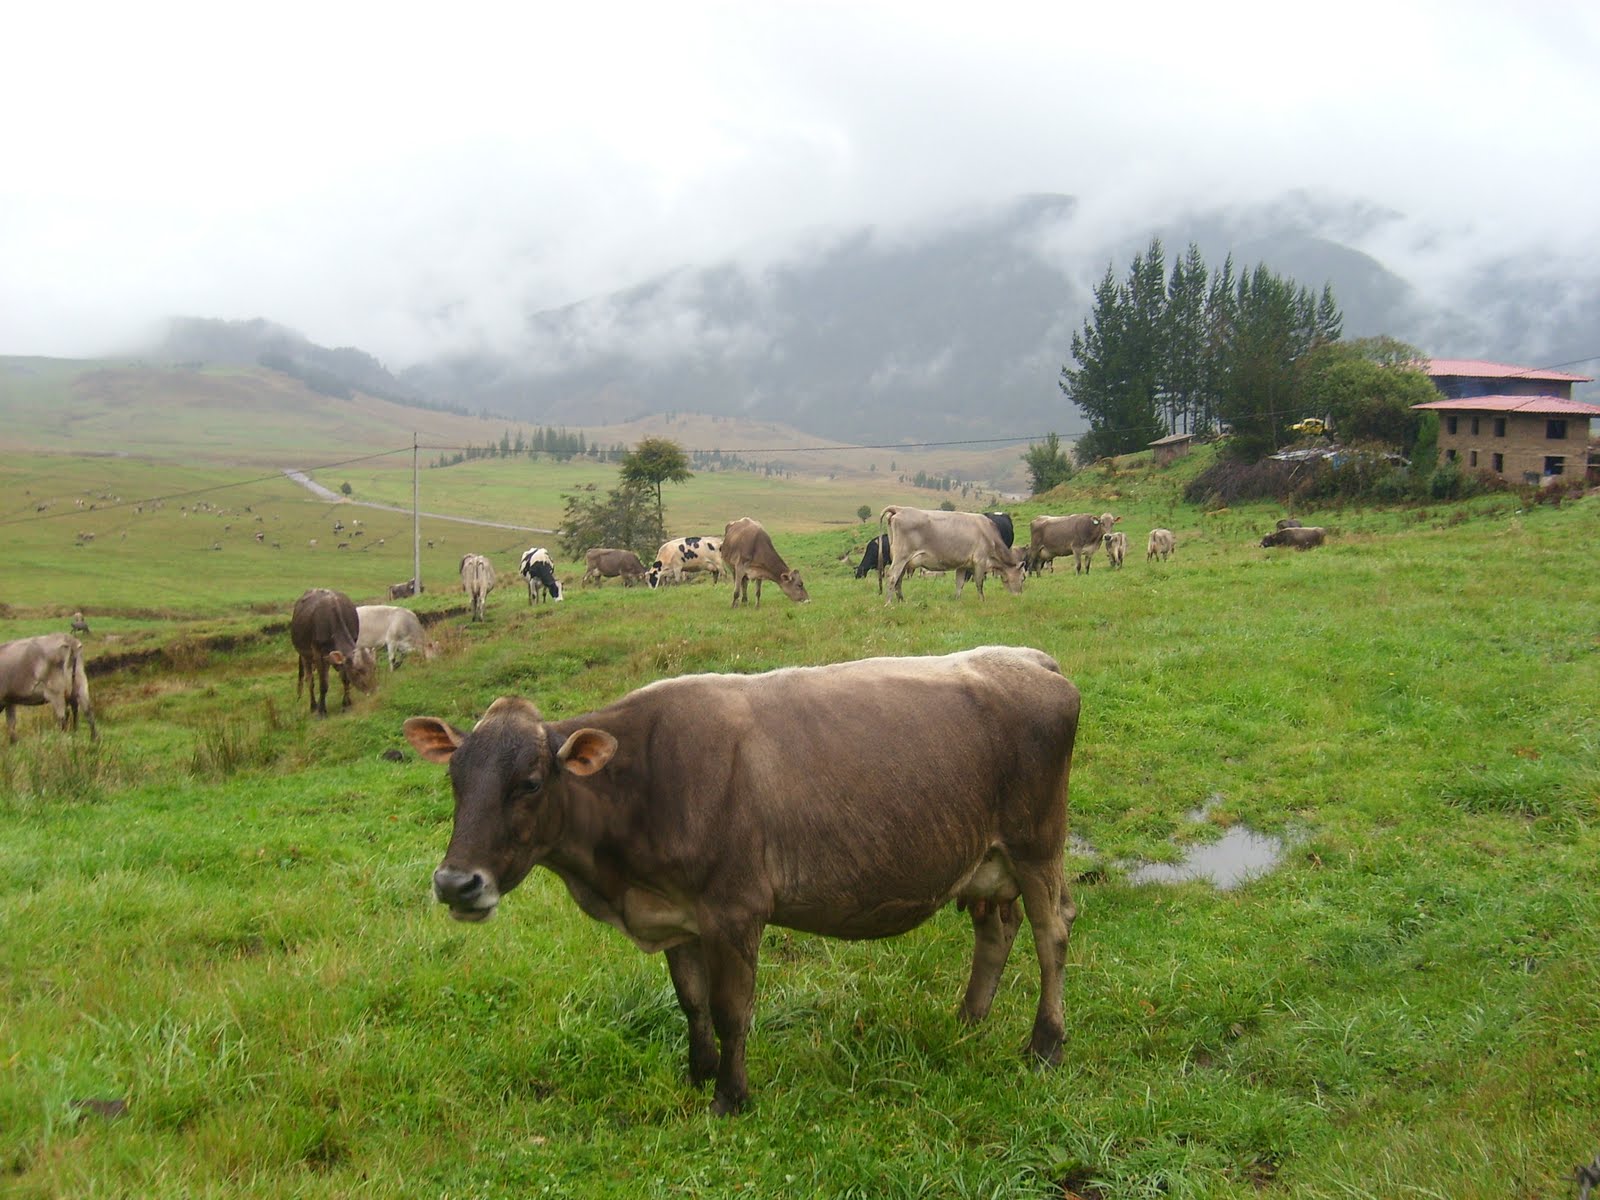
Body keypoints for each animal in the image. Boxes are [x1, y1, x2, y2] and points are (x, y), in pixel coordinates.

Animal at [290, 588, 377, 717]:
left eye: (374, 668)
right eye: (357, 671)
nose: (373, 691)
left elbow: (345, 678)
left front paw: (346, 704)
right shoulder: (319, 654)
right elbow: (323, 684)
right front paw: (321, 711)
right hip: (305, 655)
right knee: (310, 680)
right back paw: (313, 705)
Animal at [405, 645, 1082, 1115]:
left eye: (530, 783)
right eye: (455, 779)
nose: (456, 883)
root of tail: (1030, 659)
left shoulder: (734, 909)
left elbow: (734, 1010)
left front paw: (731, 1097)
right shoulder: (676, 911)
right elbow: (690, 998)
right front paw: (698, 1071)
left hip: (1036, 844)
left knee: (1052, 933)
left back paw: (1045, 1044)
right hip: (987, 861)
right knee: (997, 932)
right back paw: (968, 1019)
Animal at [881, 506, 1024, 604]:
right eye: (1023, 578)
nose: (1019, 595)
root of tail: (900, 509)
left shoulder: (963, 565)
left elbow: (959, 583)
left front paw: (957, 599)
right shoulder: (980, 560)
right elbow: (979, 583)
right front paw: (982, 600)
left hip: (903, 560)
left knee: (898, 579)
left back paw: (901, 600)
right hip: (901, 557)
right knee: (892, 576)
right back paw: (888, 603)